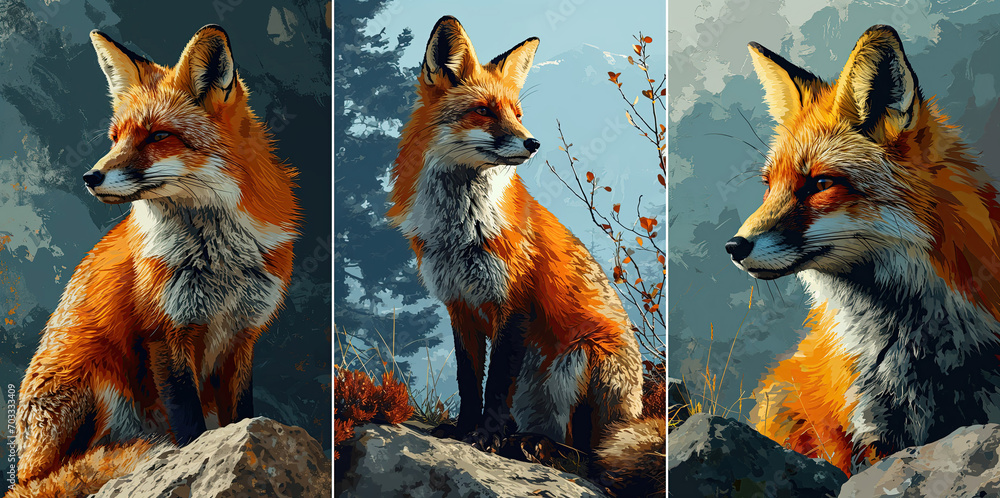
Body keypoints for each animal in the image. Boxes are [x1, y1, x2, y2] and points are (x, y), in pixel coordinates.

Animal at [7, 25, 298, 495]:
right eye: (115, 138)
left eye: (158, 136)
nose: (90, 177)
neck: (219, 258)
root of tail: (23, 468)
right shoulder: (165, 332)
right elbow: (189, 424)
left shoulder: (242, 335)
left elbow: (239, 415)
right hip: (90, 374)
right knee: (63, 471)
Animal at [386, 14, 650, 472]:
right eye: (483, 110)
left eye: (518, 113)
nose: (533, 142)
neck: (461, 231)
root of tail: (634, 411)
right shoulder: (460, 305)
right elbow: (469, 380)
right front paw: (463, 429)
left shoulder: (515, 303)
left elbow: (496, 385)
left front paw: (485, 437)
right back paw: (525, 439)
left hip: (582, 356)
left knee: (587, 455)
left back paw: (535, 446)